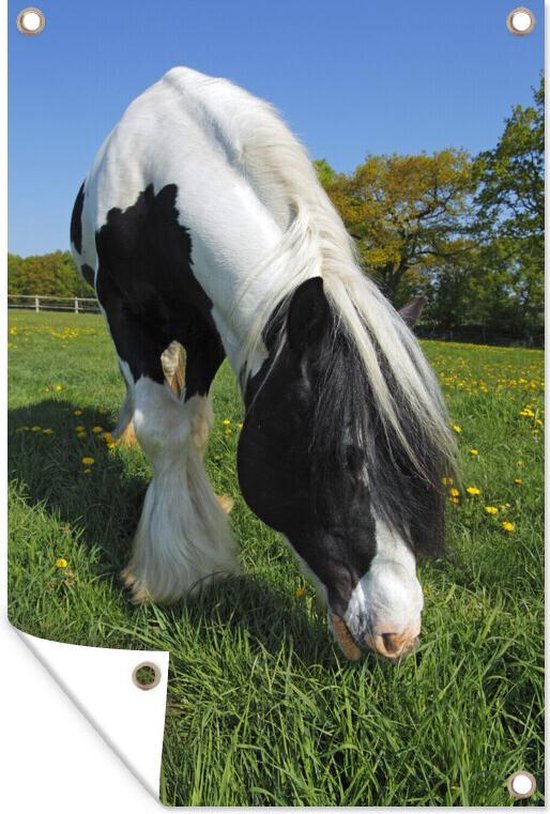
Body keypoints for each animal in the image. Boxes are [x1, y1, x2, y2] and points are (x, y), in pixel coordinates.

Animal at [70, 67, 455, 661]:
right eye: (339, 459)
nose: (400, 634)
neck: (154, 198)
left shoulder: (208, 330)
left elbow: (192, 428)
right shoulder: (124, 314)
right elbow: (164, 431)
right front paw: (173, 570)